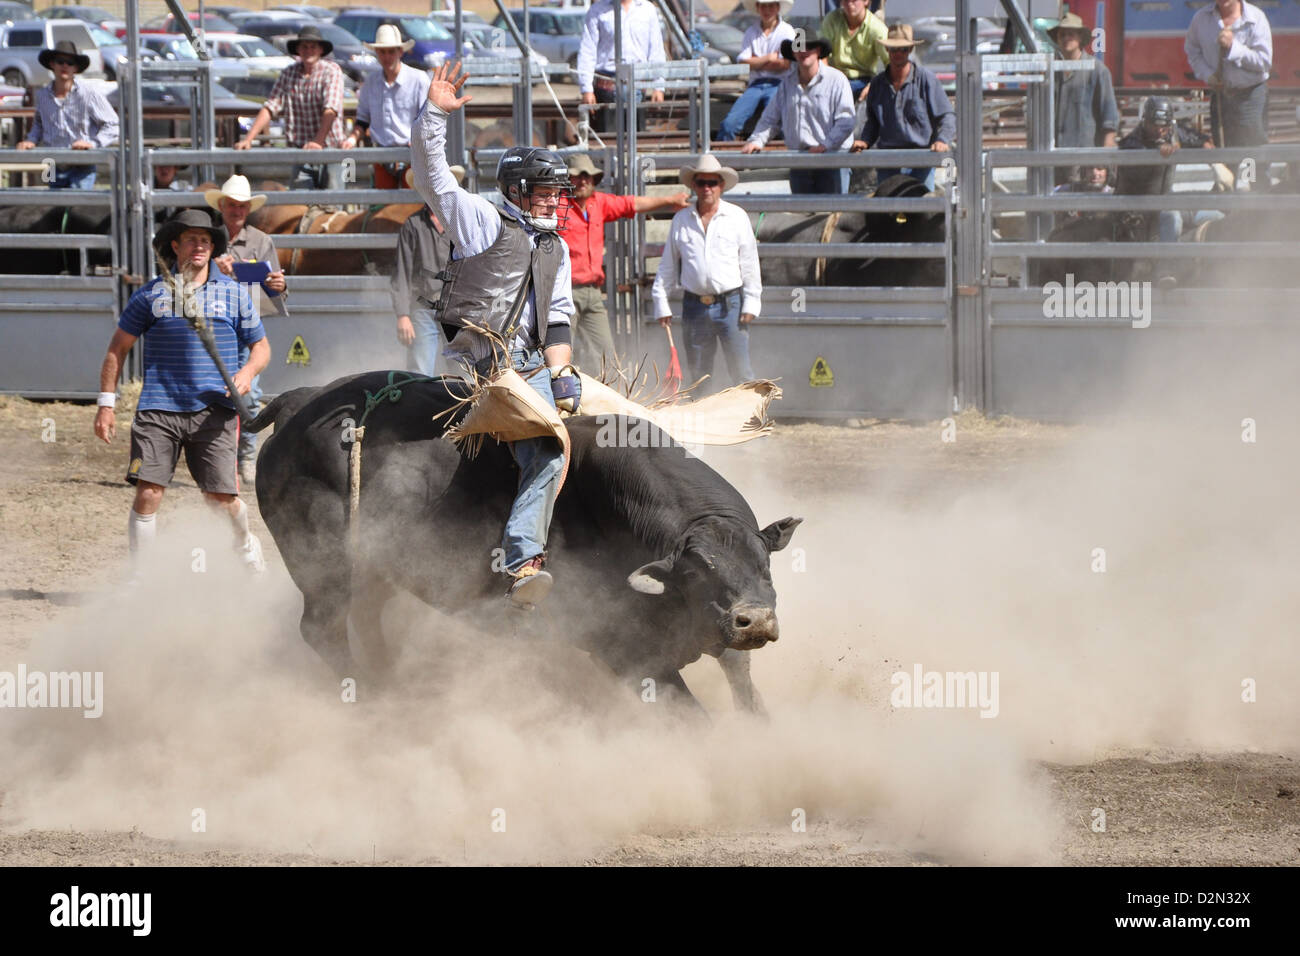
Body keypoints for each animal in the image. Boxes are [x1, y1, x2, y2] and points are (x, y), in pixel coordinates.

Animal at [249, 371, 801, 715]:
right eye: (693, 571)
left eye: (764, 565)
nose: (755, 620)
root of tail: (296, 403)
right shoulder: (625, 652)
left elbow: (742, 680)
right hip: (320, 565)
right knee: (323, 628)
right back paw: (369, 697)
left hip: (375, 565)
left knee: (366, 616)